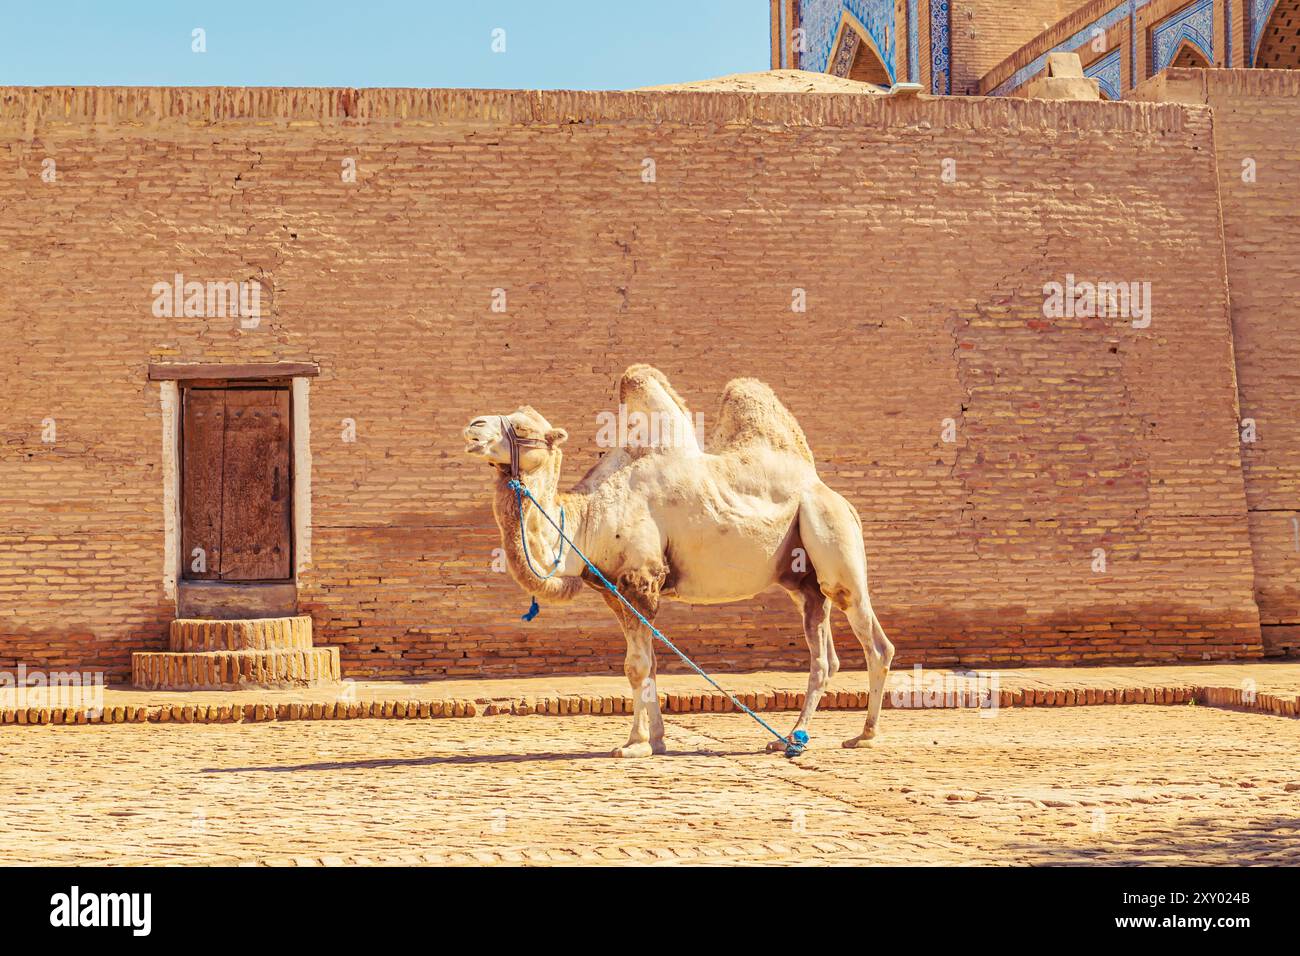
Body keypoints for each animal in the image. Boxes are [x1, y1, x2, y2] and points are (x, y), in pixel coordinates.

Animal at [462, 365, 894, 757]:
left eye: (522, 429)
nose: (473, 426)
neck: (588, 518)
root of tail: (834, 495)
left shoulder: (642, 581)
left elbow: (636, 666)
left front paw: (634, 745)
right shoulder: (615, 589)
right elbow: (647, 665)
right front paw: (656, 740)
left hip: (832, 538)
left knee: (875, 643)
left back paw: (864, 736)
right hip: (803, 582)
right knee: (824, 658)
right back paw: (790, 738)